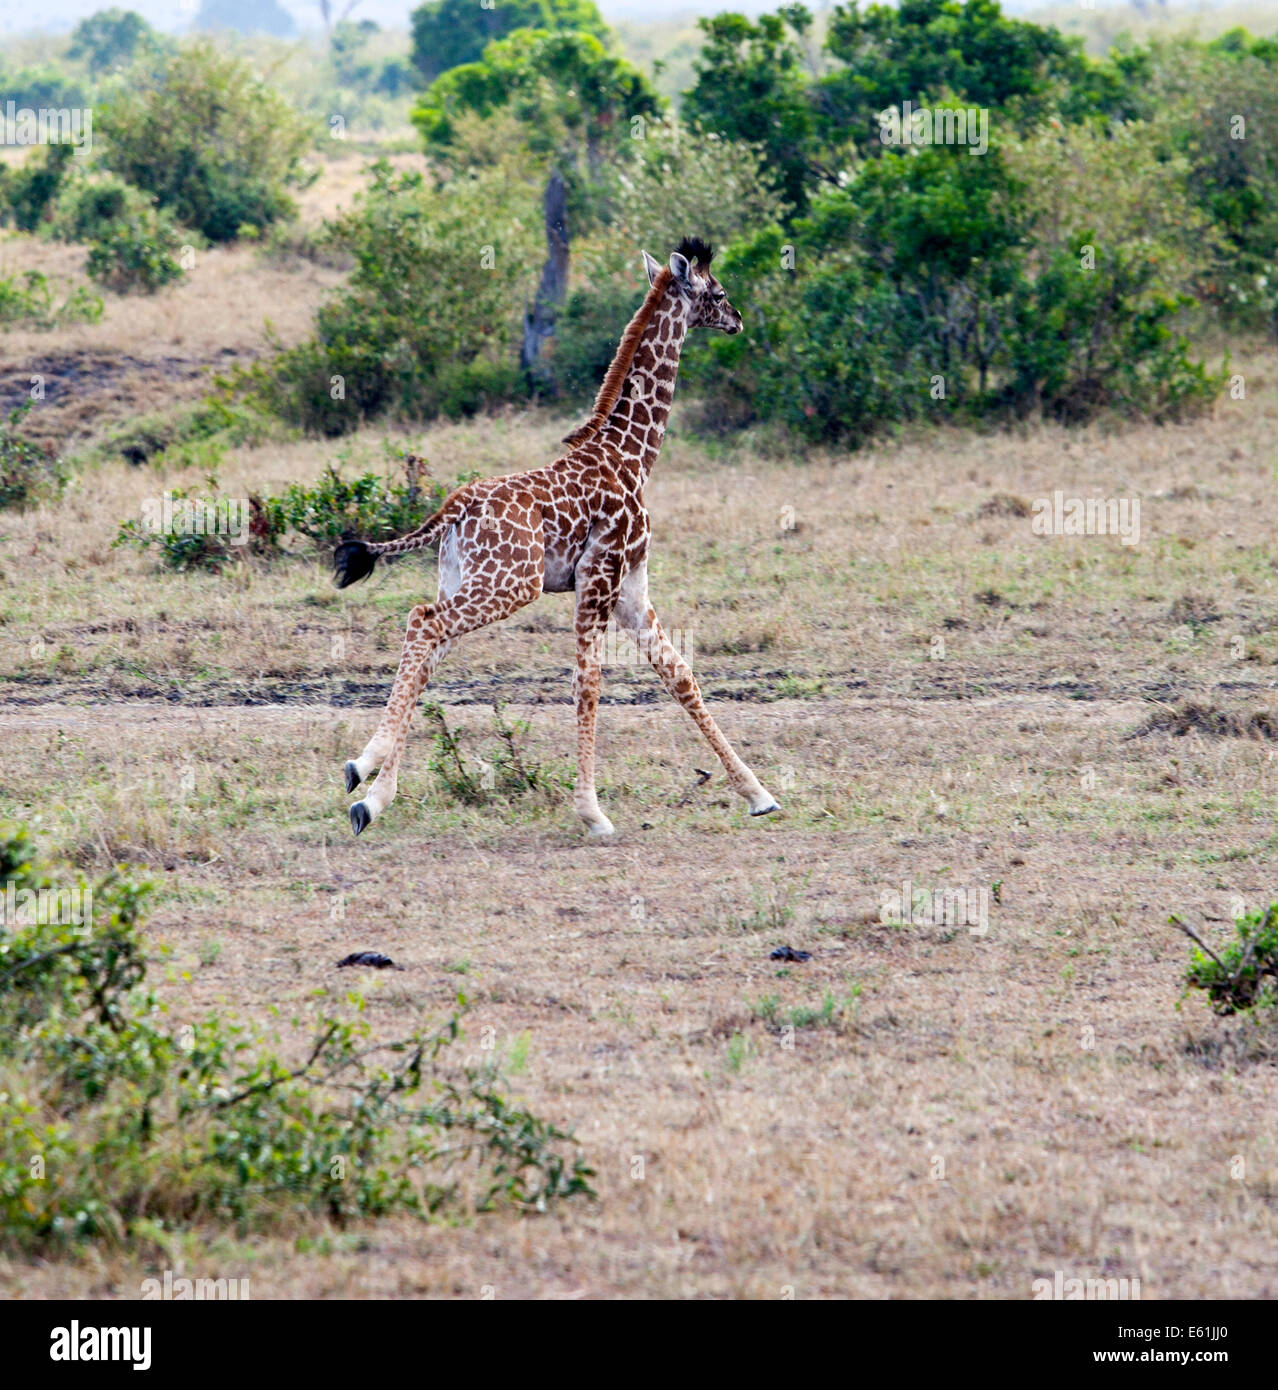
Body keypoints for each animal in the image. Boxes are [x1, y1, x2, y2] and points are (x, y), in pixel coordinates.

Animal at [333, 237, 780, 838]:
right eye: (719, 291)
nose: (737, 320)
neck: (634, 454)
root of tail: (456, 506)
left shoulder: (631, 587)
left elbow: (680, 675)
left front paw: (759, 795)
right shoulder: (600, 575)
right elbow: (587, 683)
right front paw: (592, 812)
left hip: (465, 579)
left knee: (424, 652)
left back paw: (372, 795)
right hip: (510, 583)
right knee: (422, 623)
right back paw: (365, 765)